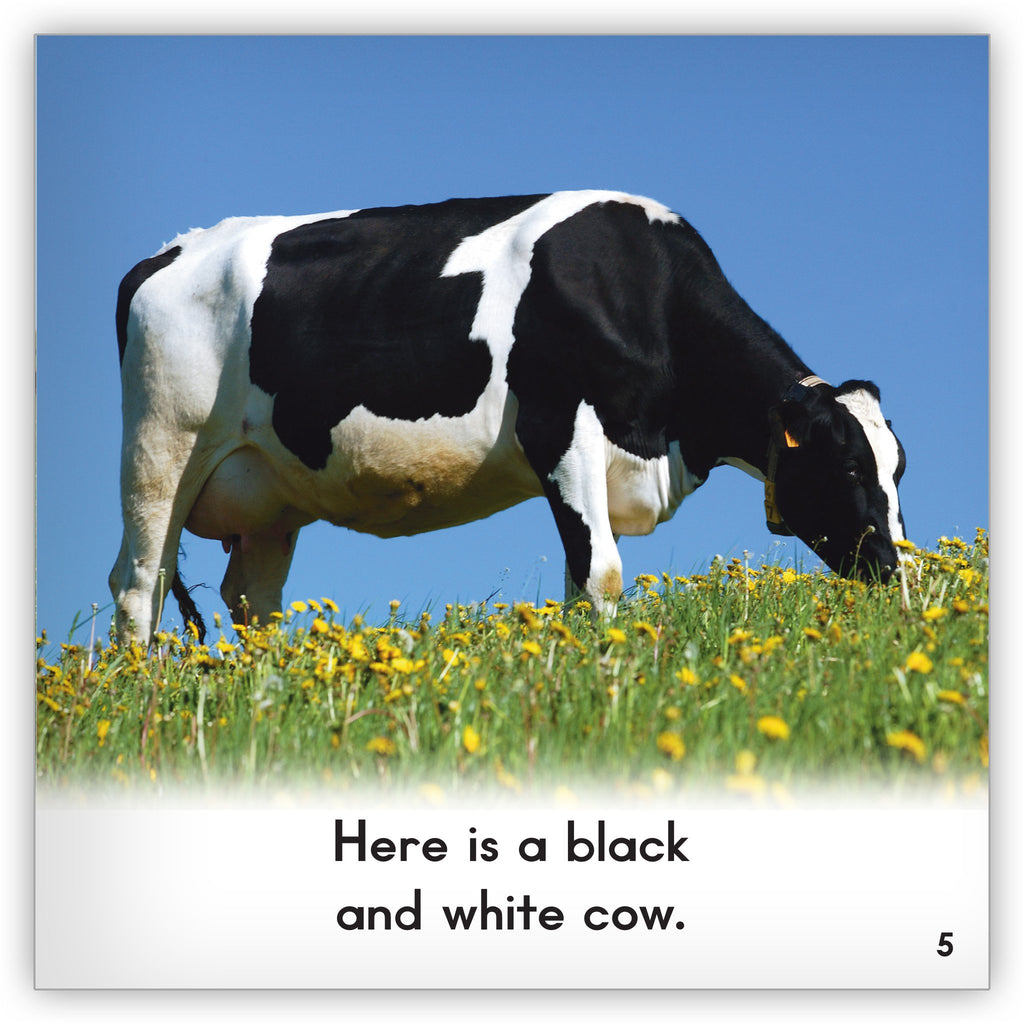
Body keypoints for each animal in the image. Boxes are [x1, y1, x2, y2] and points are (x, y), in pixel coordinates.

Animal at [110, 190, 907, 643]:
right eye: (846, 466)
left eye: (900, 469)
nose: (898, 581)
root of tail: (166, 253)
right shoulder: (560, 429)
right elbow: (600, 573)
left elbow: (580, 577)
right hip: (160, 450)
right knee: (139, 585)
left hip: (268, 494)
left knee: (255, 603)